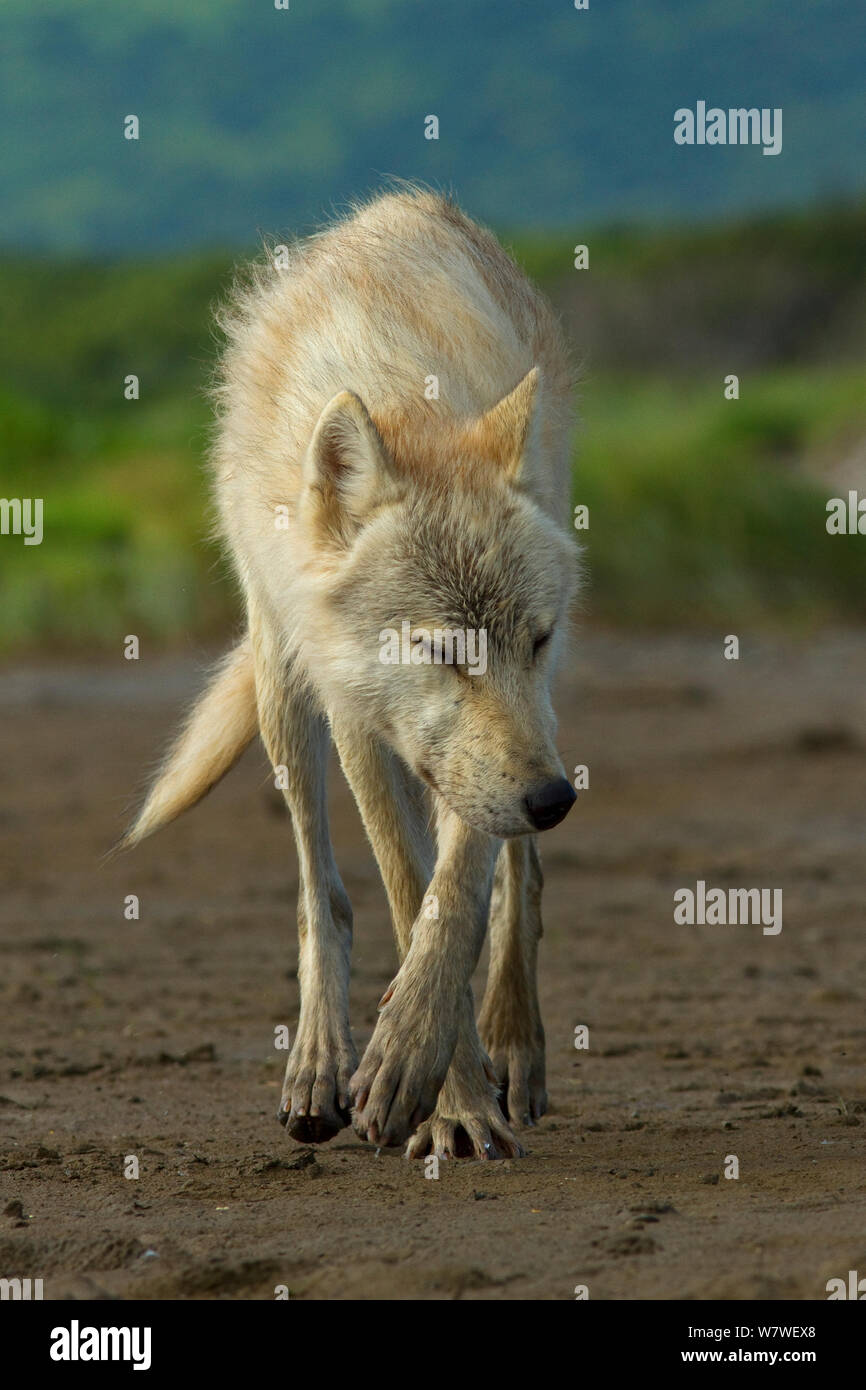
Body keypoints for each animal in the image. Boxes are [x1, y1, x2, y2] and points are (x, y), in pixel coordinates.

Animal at [124, 188, 580, 1159]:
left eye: (534, 639)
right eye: (443, 653)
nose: (557, 801)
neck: (401, 390)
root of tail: (406, 203)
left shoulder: (488, 752)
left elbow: (457, 901)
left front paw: (432, 1066)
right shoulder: (360, 719)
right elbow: (407, 898)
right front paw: (451, 1104)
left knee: (518, 884)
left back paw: (514, 1046)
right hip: (283, 690)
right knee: (319, 895)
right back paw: (318, 1069)